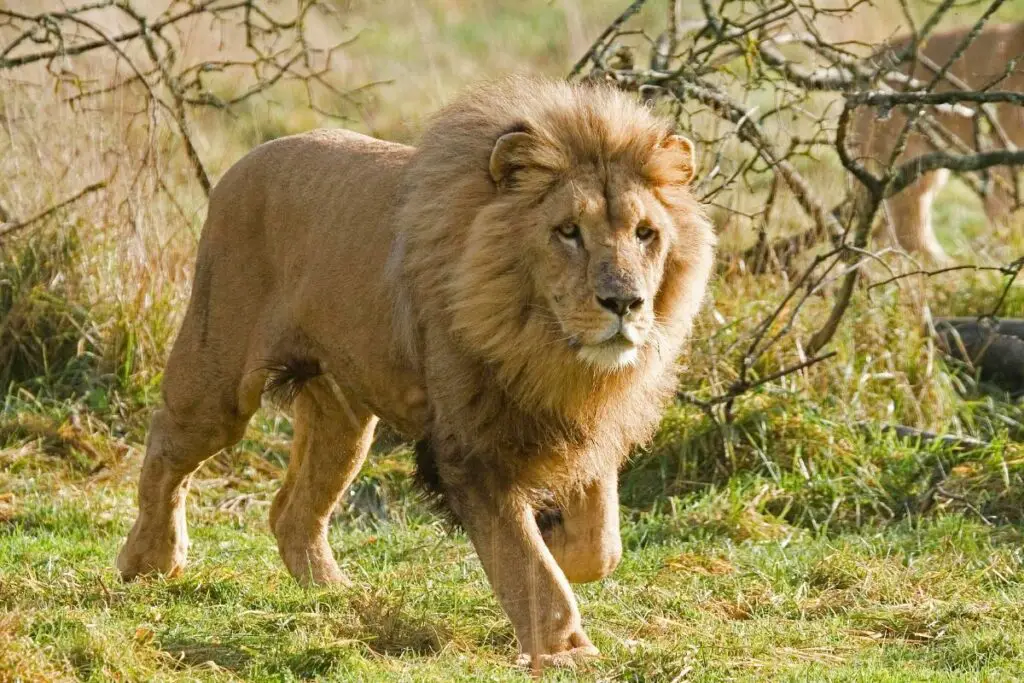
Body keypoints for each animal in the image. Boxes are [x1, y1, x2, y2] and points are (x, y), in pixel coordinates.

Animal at [116, 76, 715, 665]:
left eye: (644, 233)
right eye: (569, 231)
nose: (625, 302)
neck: (548, 351)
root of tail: (245, 161)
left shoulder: (586, 429)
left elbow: (600, 547)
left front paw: (560, 545)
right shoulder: (471, 451)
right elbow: (529, 567)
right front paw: (566, 650)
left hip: (344, 419)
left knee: (291, 511)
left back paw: (339, 596)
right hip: (218, 378)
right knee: (167, 447)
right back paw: (149, 560)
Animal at [853, 22, 1024, 263]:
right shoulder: (1002, 151)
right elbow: (1006, 212)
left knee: (889, 234)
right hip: (910, 166)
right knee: (907, 231)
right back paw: (946, 265)